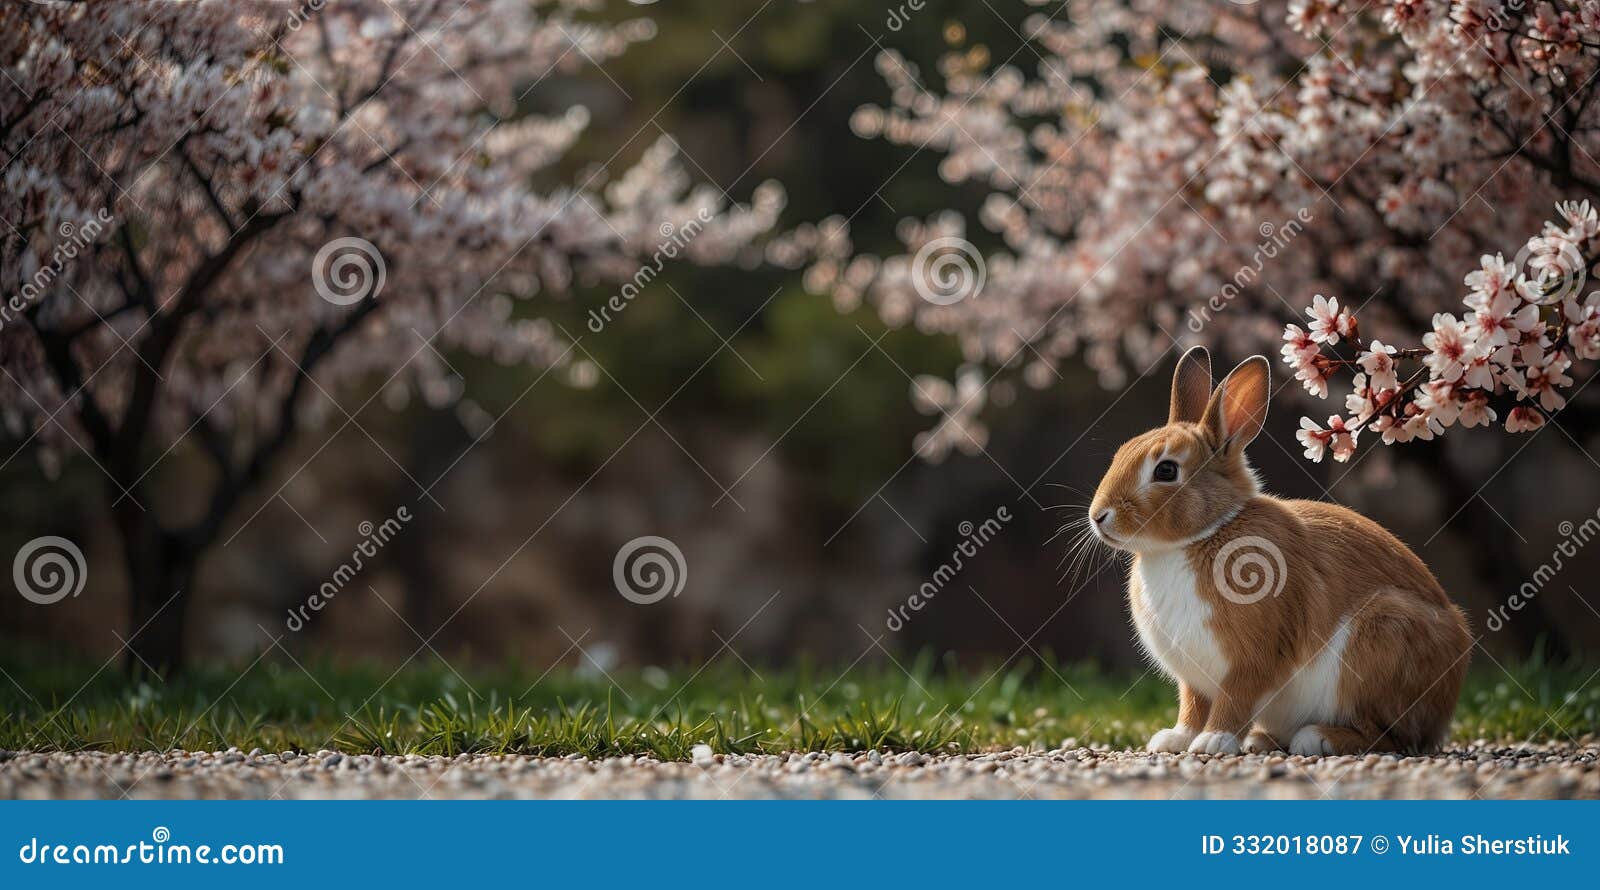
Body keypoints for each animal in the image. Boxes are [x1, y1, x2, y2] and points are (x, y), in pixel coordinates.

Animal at [1086, 346, 1471, 756]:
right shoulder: (1194, 676)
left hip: (1381, 639)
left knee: (1390, 735)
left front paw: (1213, 741)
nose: (1099, 516)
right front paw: (1176, 738)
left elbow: (1234, 700)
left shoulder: (1253, 659)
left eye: (1166, 471)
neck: (1204, 534)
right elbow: (1192, 704)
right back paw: (1263, 740)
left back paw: (1317, 738)